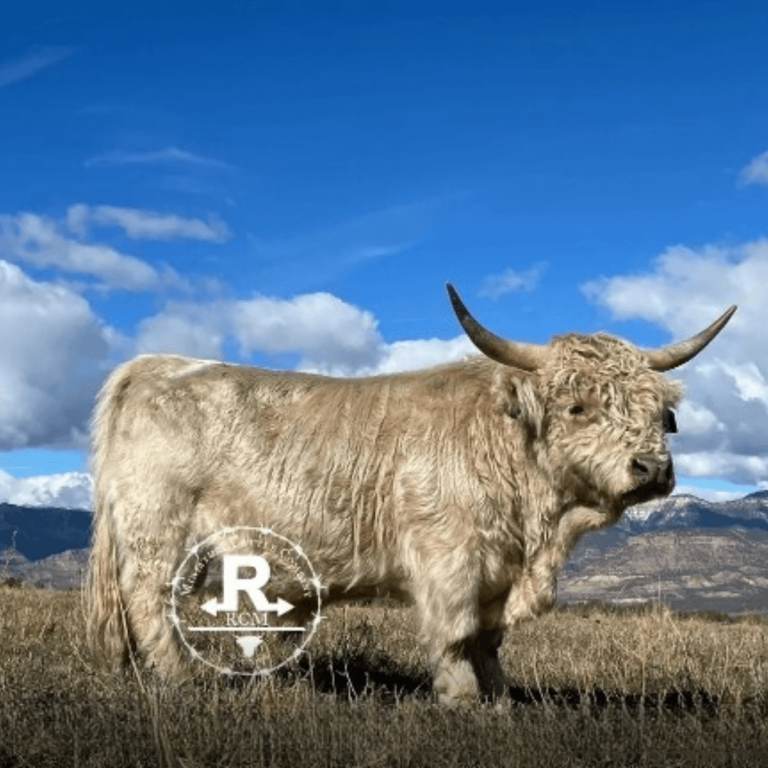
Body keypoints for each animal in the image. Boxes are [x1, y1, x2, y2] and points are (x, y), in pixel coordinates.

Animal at [86, 285, 735, 704]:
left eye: (660, 412)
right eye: (577, 407)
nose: (652, 467)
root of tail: (156, 365)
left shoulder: (497, 574)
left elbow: (489, 640)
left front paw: (502, 698)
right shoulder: (450, 562)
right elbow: (455, 636)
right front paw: (463, 701)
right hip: (158, 535)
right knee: (152, 603)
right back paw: (181, 682)